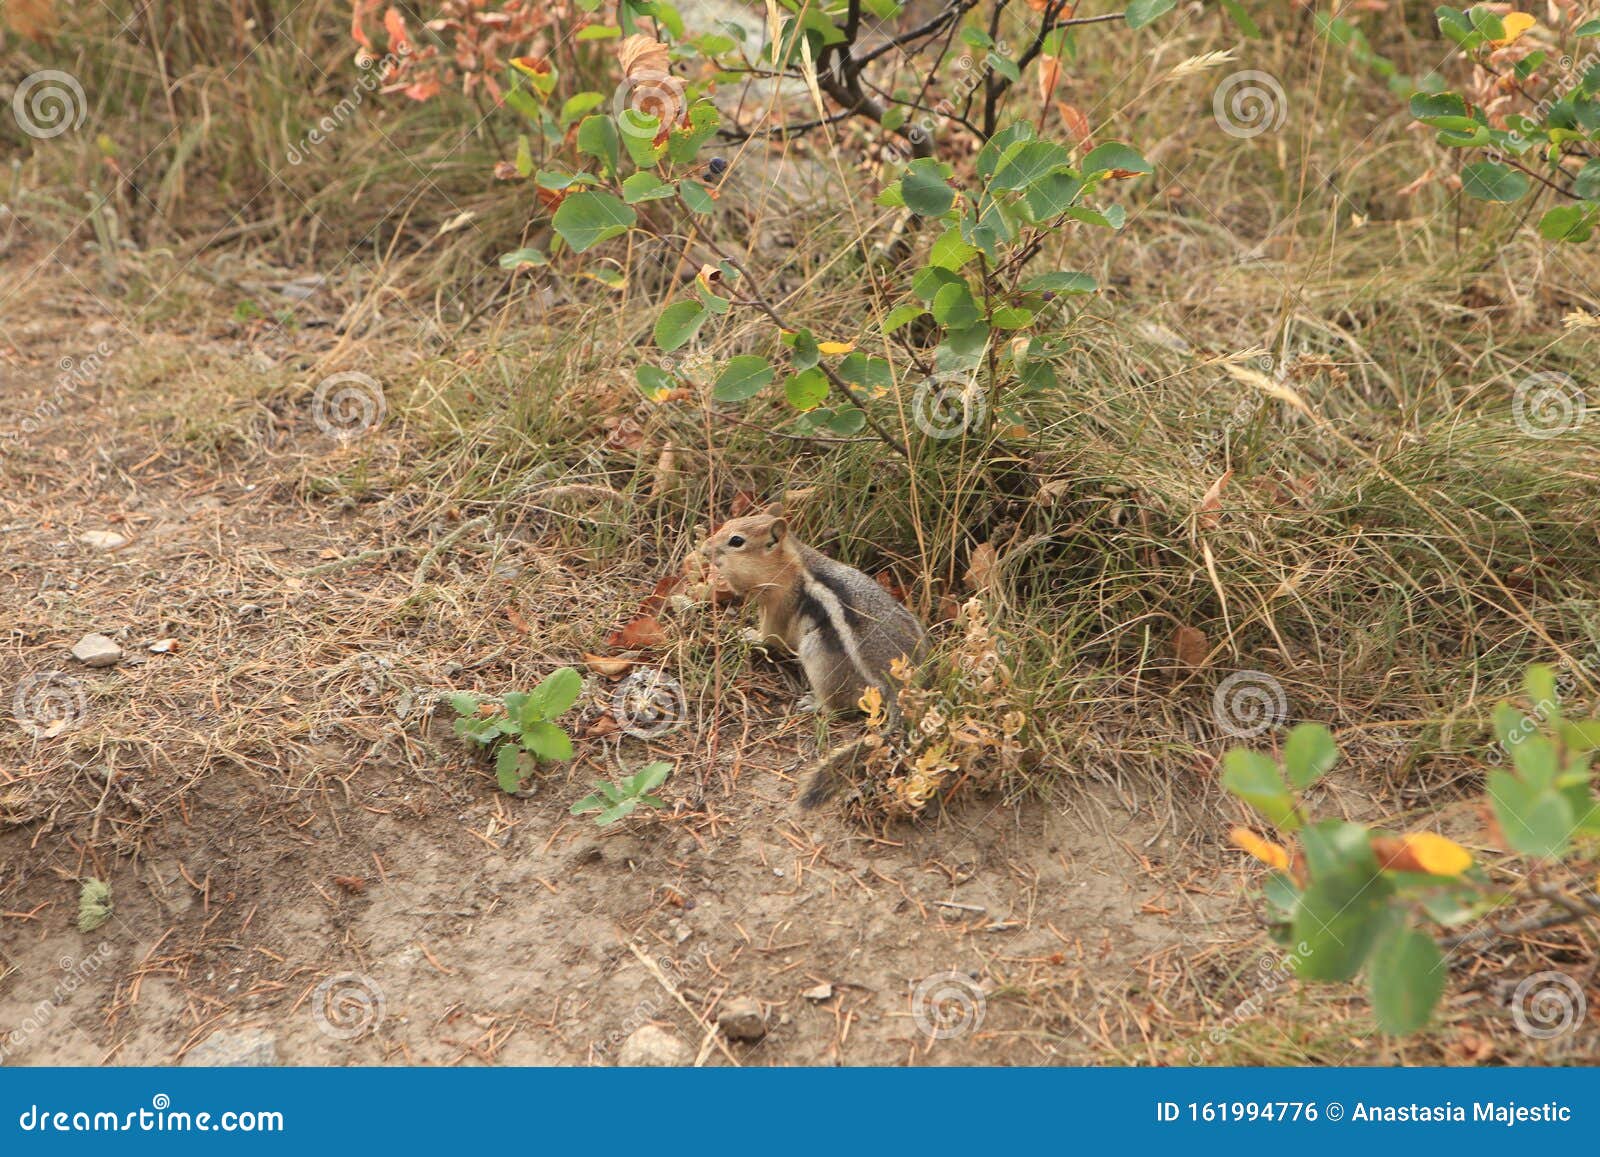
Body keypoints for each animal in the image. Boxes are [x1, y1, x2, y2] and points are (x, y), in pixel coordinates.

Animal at [701, 505, 926, 806]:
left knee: (838, 707)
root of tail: (896, 689)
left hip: (819, 657)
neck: (791, 563)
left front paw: (747, 635)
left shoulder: (778, 606)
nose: (704, 550)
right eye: (728, 523)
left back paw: (815, 704)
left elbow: (771, 636)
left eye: (736, 541)